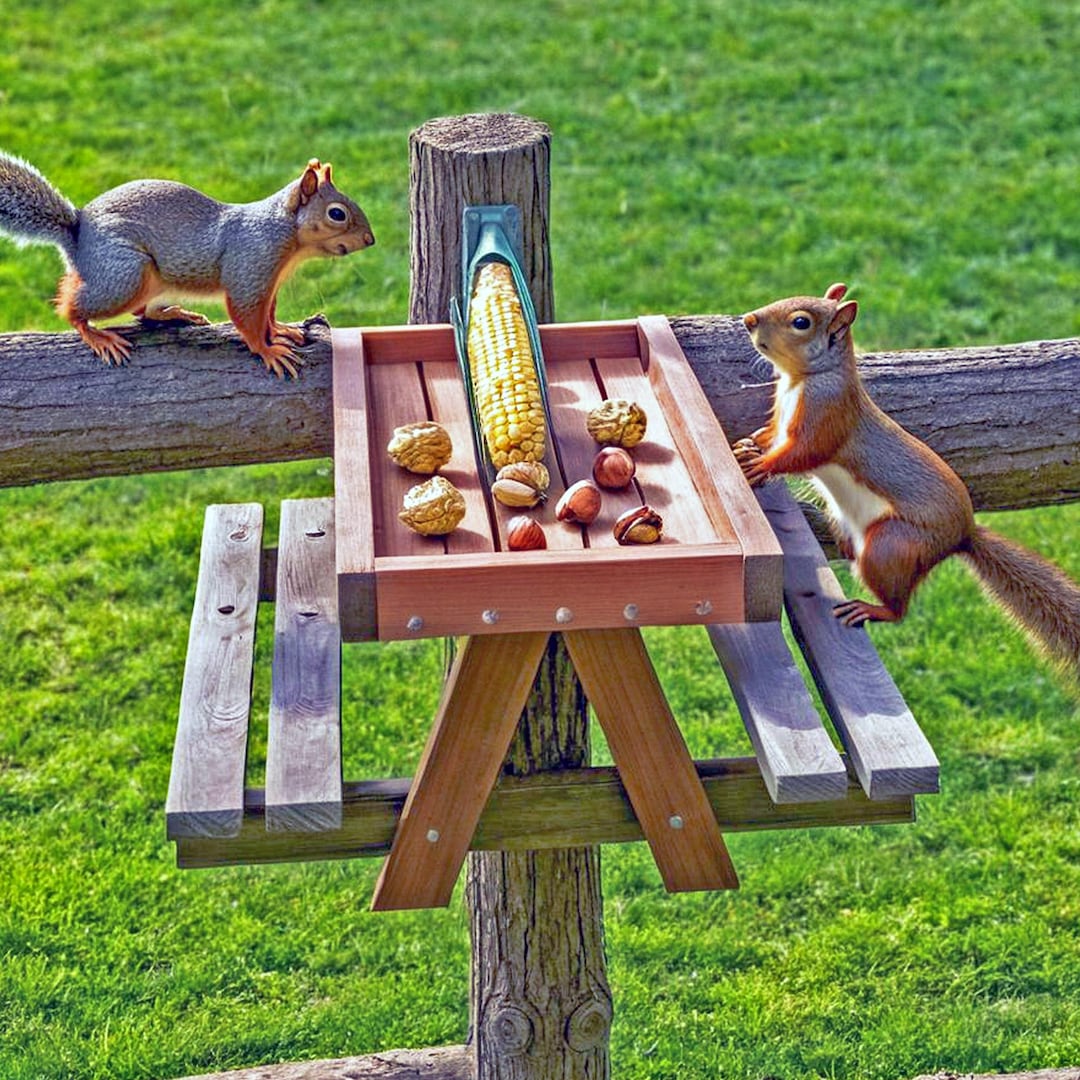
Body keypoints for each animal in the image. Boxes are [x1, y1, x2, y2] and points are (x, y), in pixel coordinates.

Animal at [0, 152, 374, 378]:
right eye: (337, 214)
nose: (370, 239)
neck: (288, 239)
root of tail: (78, 234)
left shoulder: (270, 283)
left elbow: (267, 314)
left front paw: (279, 330)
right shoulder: (249, 265)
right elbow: (247, 317)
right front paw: (268, 351)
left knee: (142, 312)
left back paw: (175, 314)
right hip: (126, 275)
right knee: (72, 305)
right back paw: (97, 335)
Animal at [733, 282, 1080, 672]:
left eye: (800, 322)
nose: (749, 320)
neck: (802, 381)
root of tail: (963, 534)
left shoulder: (828, 417)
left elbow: (803, 453)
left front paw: (759, 466)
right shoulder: (781, 419)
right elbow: (770, 436)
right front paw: (744, 446)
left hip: (891, 545)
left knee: (898, 608)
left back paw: (873, 608)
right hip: (849, 529)